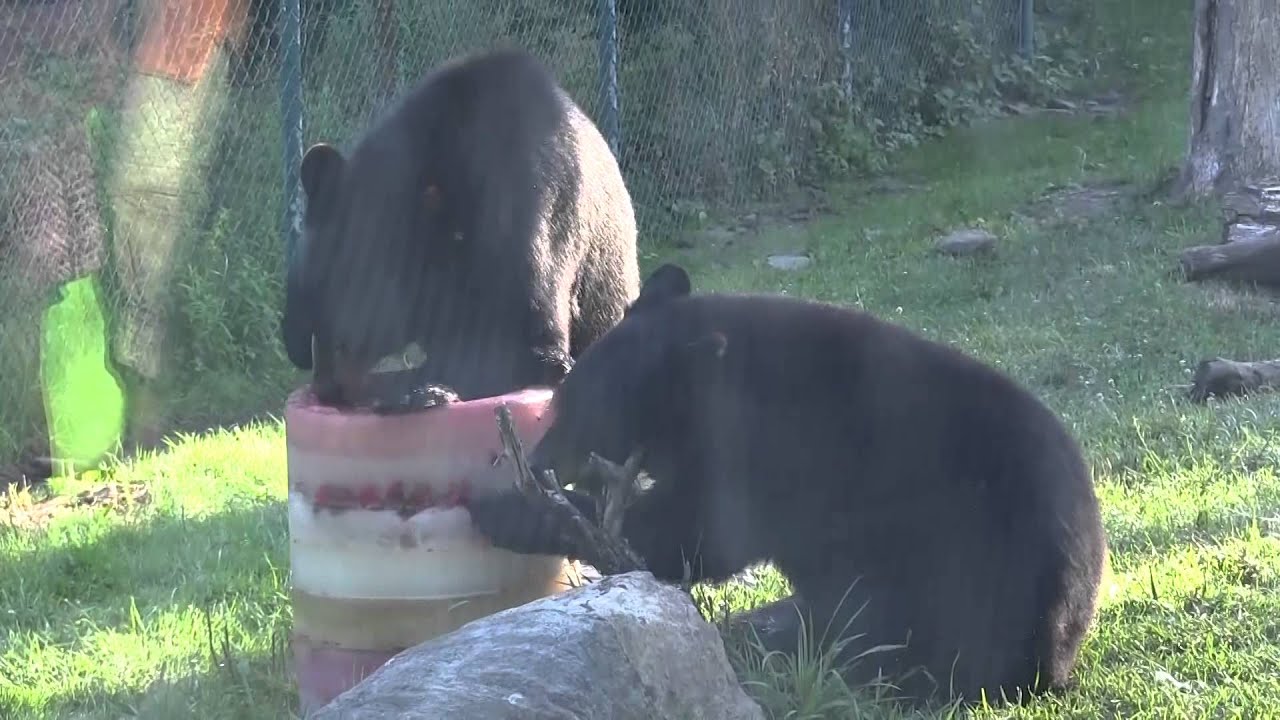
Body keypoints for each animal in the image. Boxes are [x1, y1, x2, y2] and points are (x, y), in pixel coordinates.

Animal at [467, 263, 1109, 707]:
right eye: (561, 403)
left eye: (581, 416)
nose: (538, 459)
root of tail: (1055, 660)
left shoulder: (778, 452)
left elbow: (693, 531)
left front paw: (509, 510)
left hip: (952, 581)